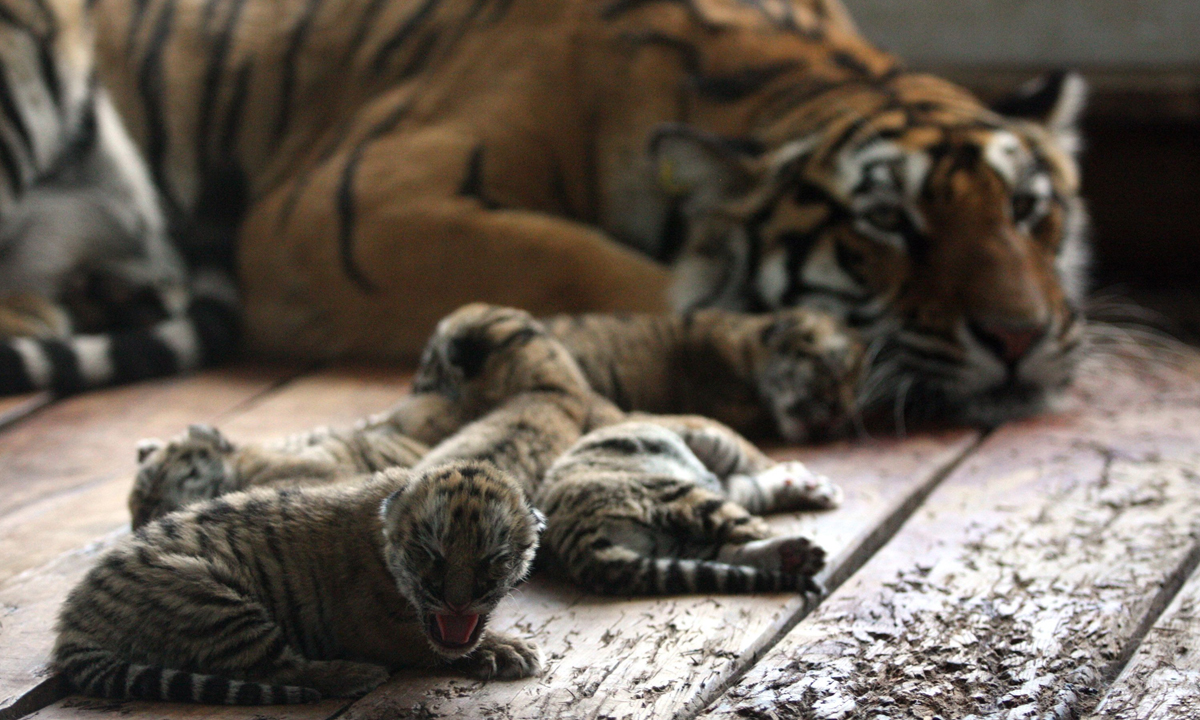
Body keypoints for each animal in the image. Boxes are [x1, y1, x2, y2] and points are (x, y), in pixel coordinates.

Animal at [54, 461, 545, 705]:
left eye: (494, 560)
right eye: (430, 556)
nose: (457, 604)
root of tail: (74, 622)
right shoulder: (376, 627)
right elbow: (431, 647)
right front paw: (508, 649)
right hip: (208, 598)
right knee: (278, 667)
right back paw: (355, 674)